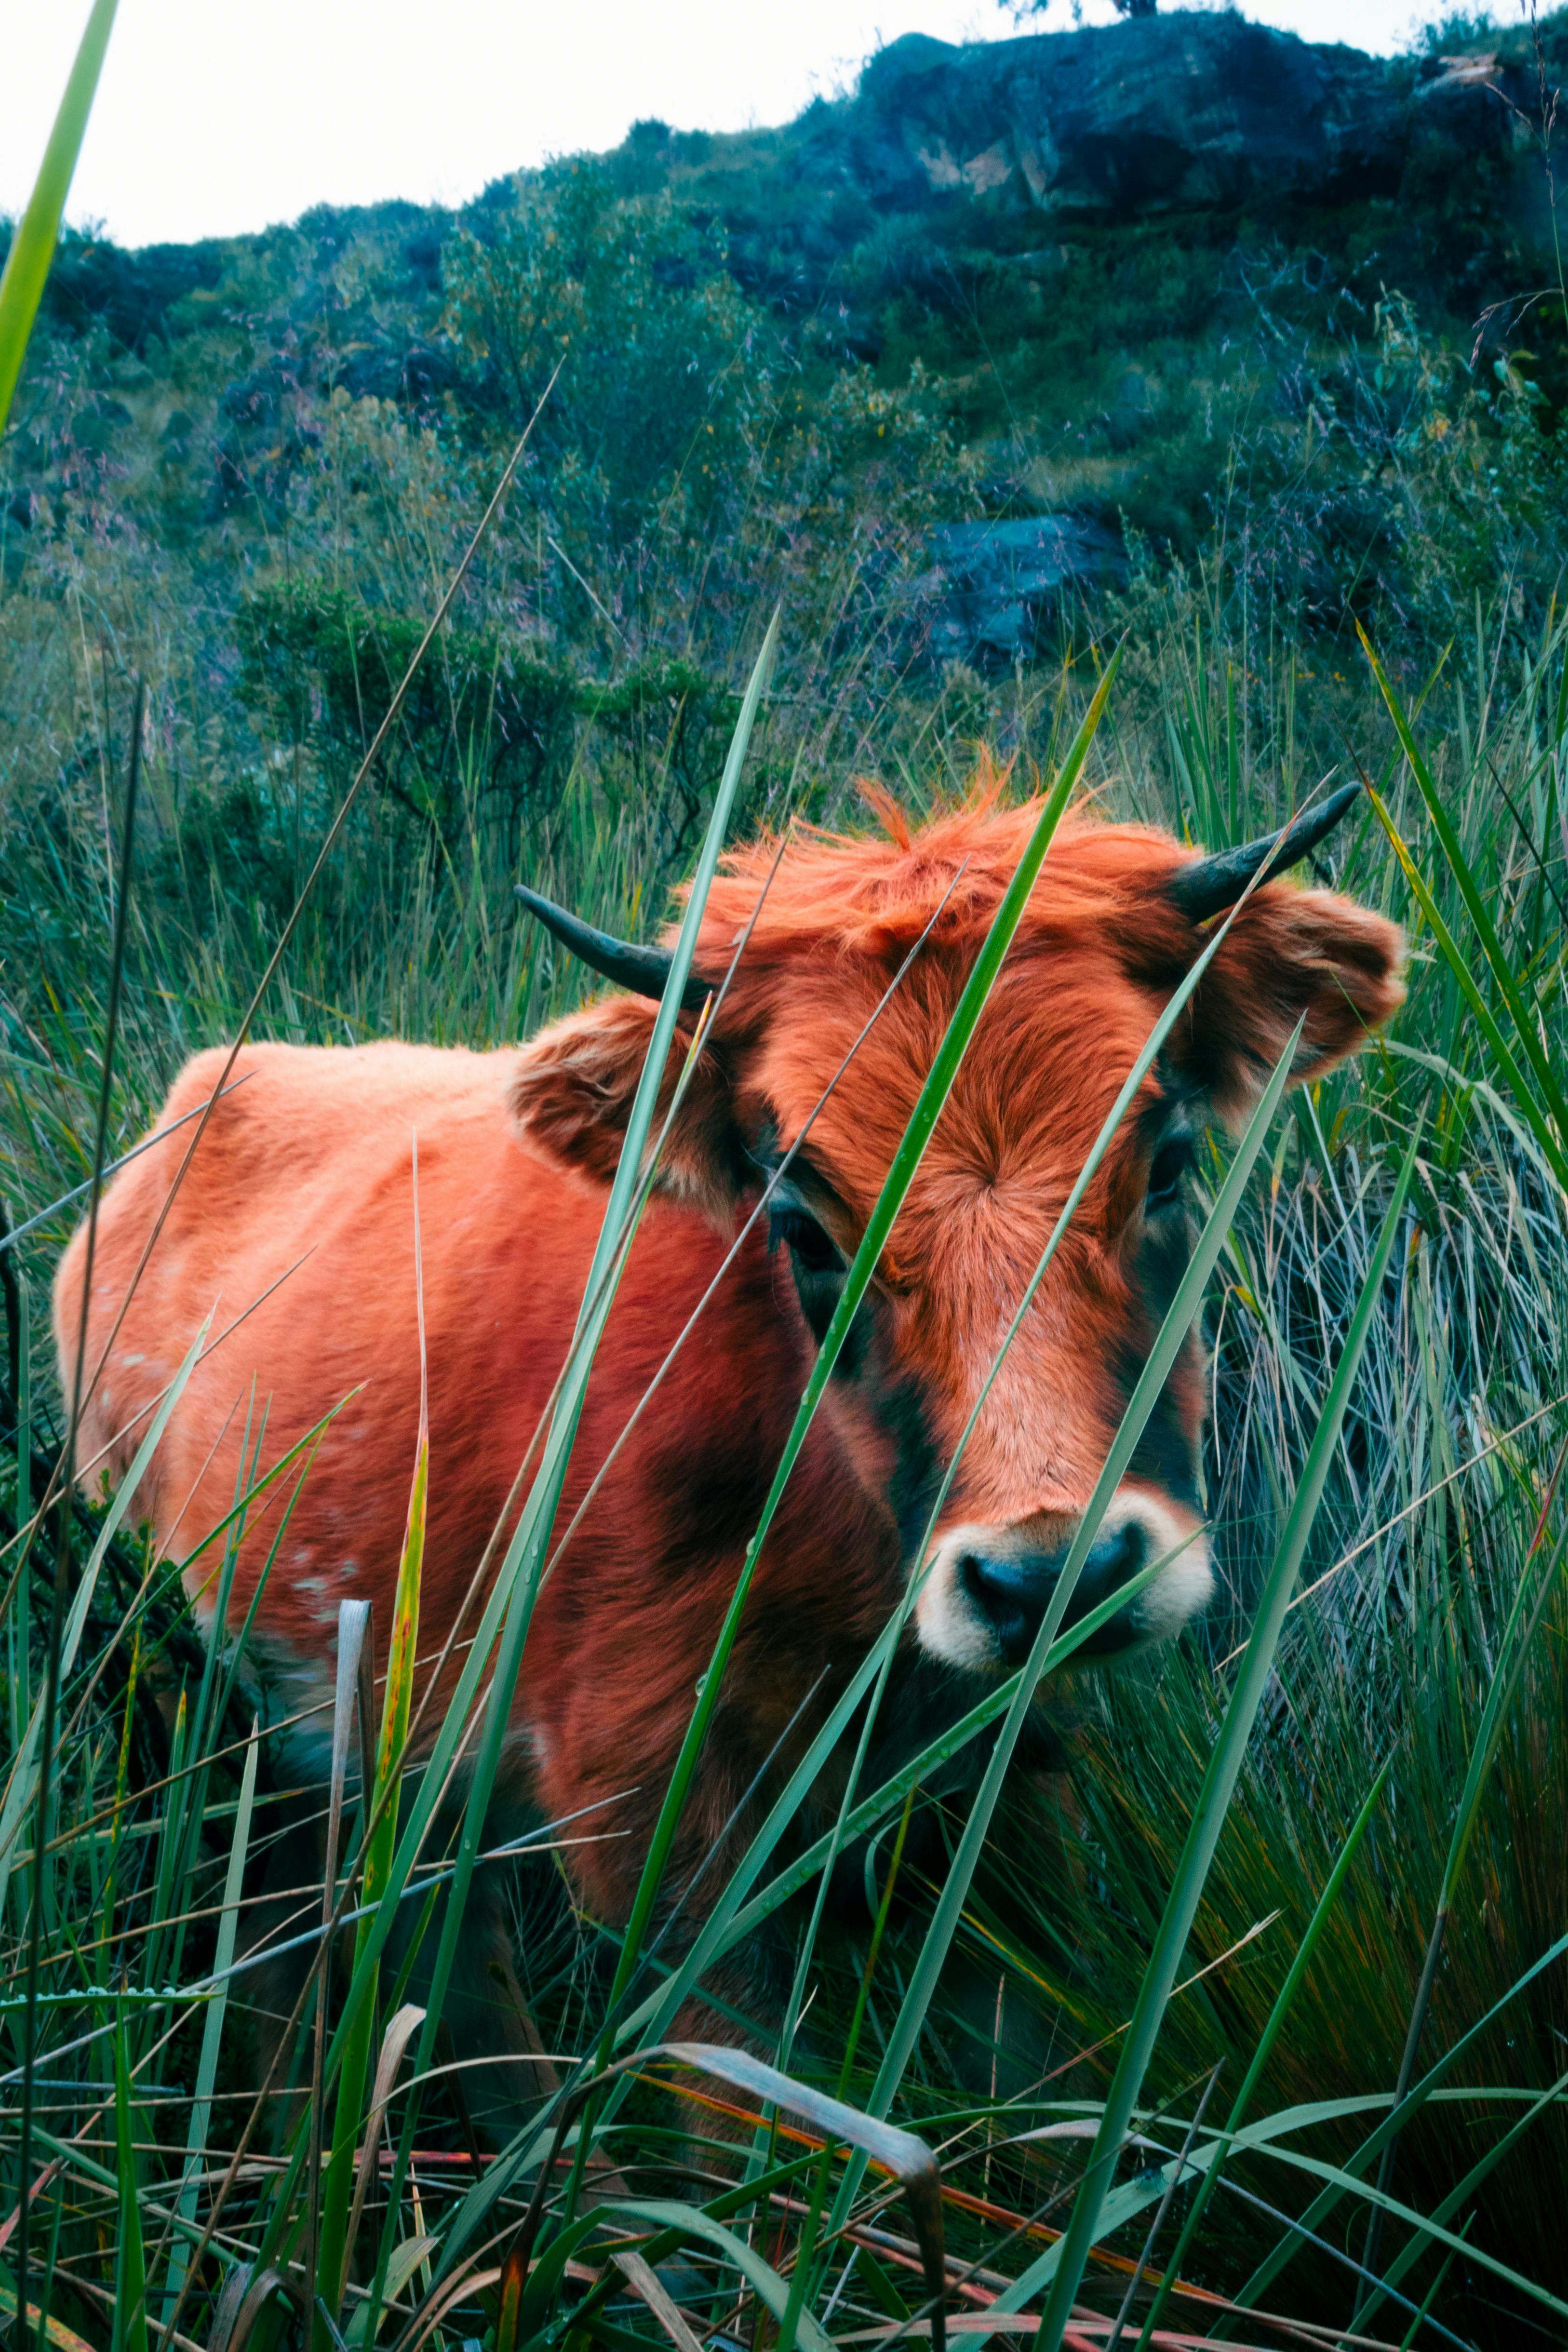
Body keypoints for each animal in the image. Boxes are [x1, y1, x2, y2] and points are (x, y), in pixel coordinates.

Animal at [54, 781, 1401, 2134]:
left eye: (1167, 1165)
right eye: (801, 1222)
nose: (1046, 1577)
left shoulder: (1010, 1779)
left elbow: (1024, 2086)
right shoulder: (644, 1813)